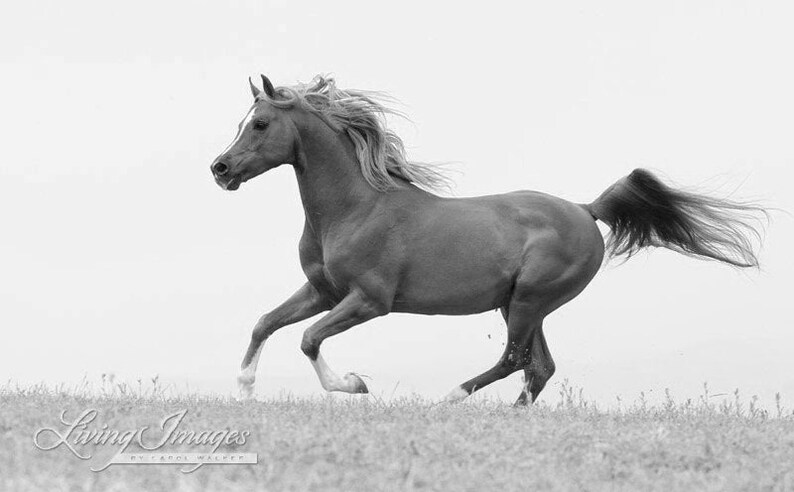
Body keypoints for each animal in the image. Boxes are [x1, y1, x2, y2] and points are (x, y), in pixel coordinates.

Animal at [211, 74, 765, 404]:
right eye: (242, 122)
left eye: (260, 123)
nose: (220, 169)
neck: (355, 210)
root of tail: (586, 210)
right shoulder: (323, 291)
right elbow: (265, 323)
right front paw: (244, 390)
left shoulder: (369, 300)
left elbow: (308, 338)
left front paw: (354, 384)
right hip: (520, 304)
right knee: (539, 367)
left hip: (529, 300)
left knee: (517, 360)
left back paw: (449, 399)